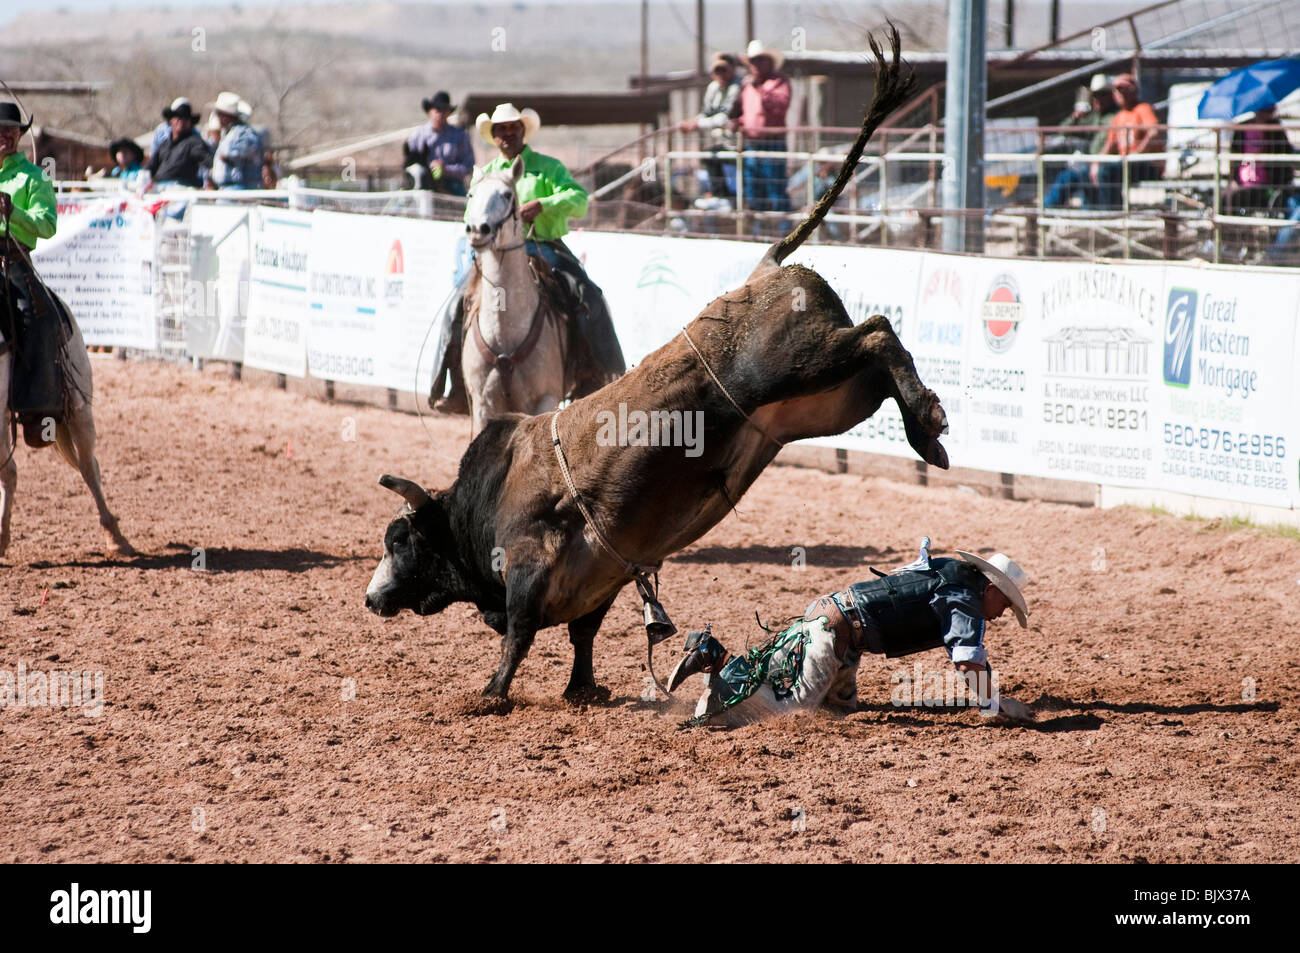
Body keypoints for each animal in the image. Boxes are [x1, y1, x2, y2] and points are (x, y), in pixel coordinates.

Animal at [365, 28, 949, 704]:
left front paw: (492, 693)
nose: (372, 598)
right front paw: (581, 688)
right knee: (878, 356)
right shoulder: (599, 576)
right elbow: (582, 633)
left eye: (400, 541)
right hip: (823, 404)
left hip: (803, 366)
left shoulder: (529, 564)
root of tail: (765, 268)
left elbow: (519, 630)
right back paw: (925, 432)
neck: (489, 494)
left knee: (879, 334)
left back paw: (928, 425)